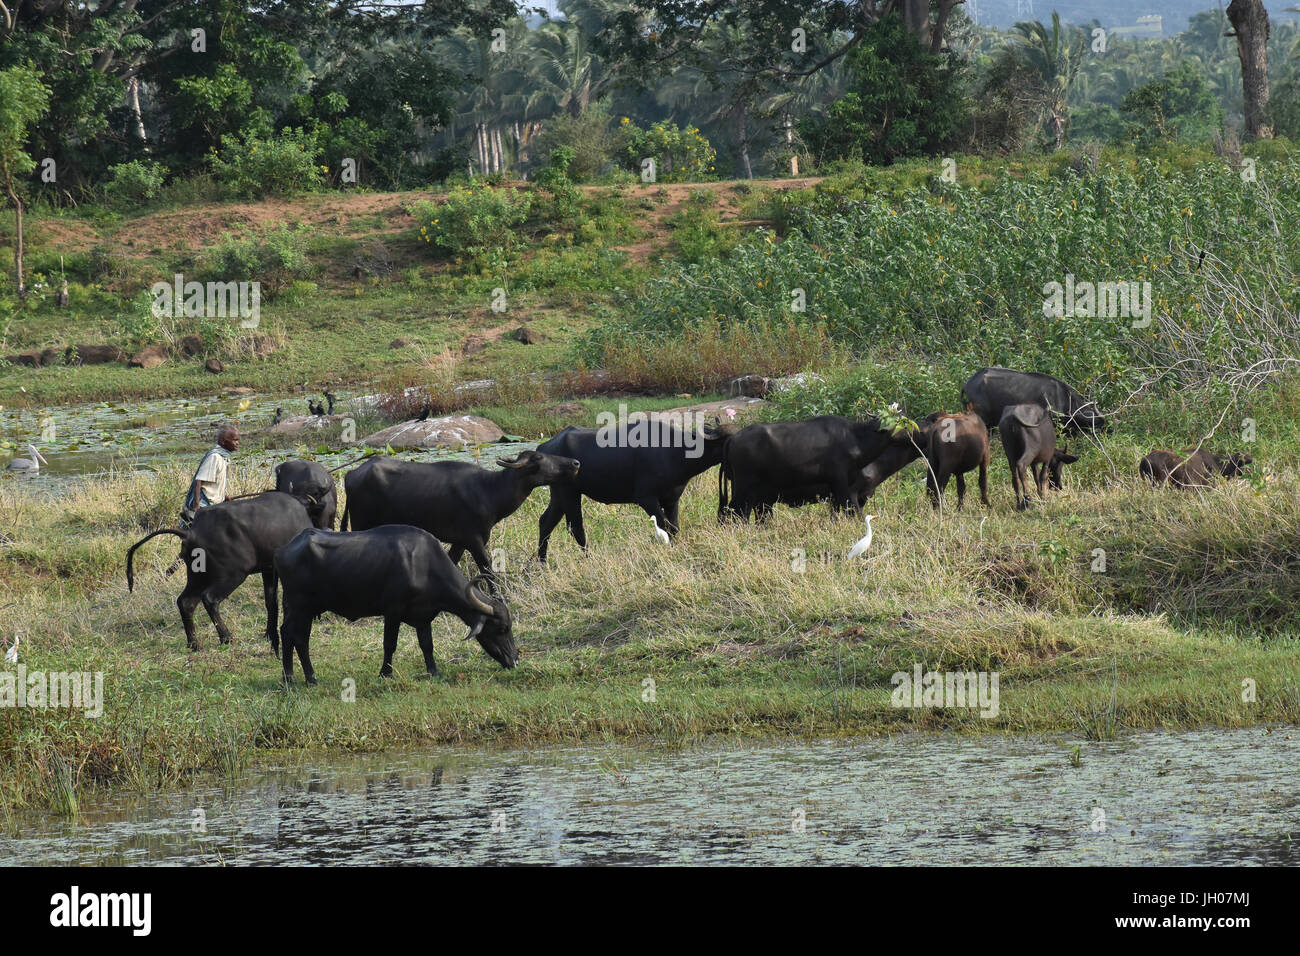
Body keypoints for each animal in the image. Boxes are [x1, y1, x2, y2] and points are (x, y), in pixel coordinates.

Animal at [126, 492, 314, 650]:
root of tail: (192, 534)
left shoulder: (268, 570)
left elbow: (271, 602)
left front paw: (269, 634)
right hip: (232, 575)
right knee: (209, 599)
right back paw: (226, 637)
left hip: (197, 578)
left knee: (185, 603)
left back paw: (194, 644)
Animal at [274, 525, 518, 685]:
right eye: (502, 628)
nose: (515, 660)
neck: (424, 565)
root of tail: (283, 550)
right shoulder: (393, 611)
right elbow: (389, 643)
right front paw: (386, 673)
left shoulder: (424, 615)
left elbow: (427, 644)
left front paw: (434, 671)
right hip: (301, 606)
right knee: (299, 639)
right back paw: (310, 678)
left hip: (297, 608)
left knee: (287, 633)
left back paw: (289, 677)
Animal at [343, 450, 580, 578]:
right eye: (539, 458)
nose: (575, 462)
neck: (489, 490)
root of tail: (351, 474)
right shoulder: (474, 539)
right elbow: (488, 572)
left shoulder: (460, 542)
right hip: (361, 525)